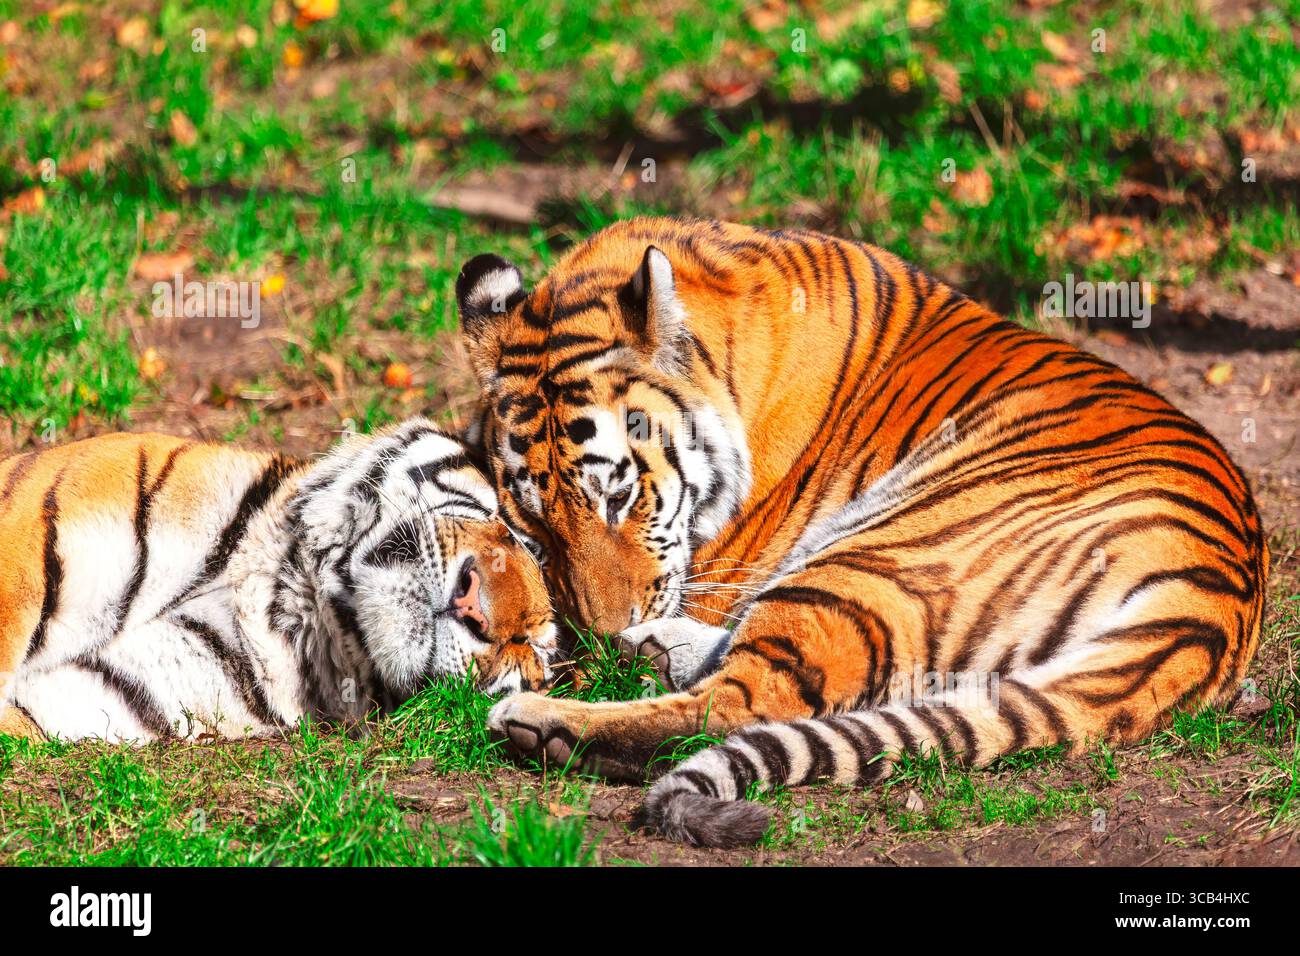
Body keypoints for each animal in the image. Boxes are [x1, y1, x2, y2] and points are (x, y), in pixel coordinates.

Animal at [454, 216, 1268, 847]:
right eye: (537, 523)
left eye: (620, 497)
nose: (598, 635)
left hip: (874, 555)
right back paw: (651, 650)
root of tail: (1210, 606)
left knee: (747, 702)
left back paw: (548, 719)